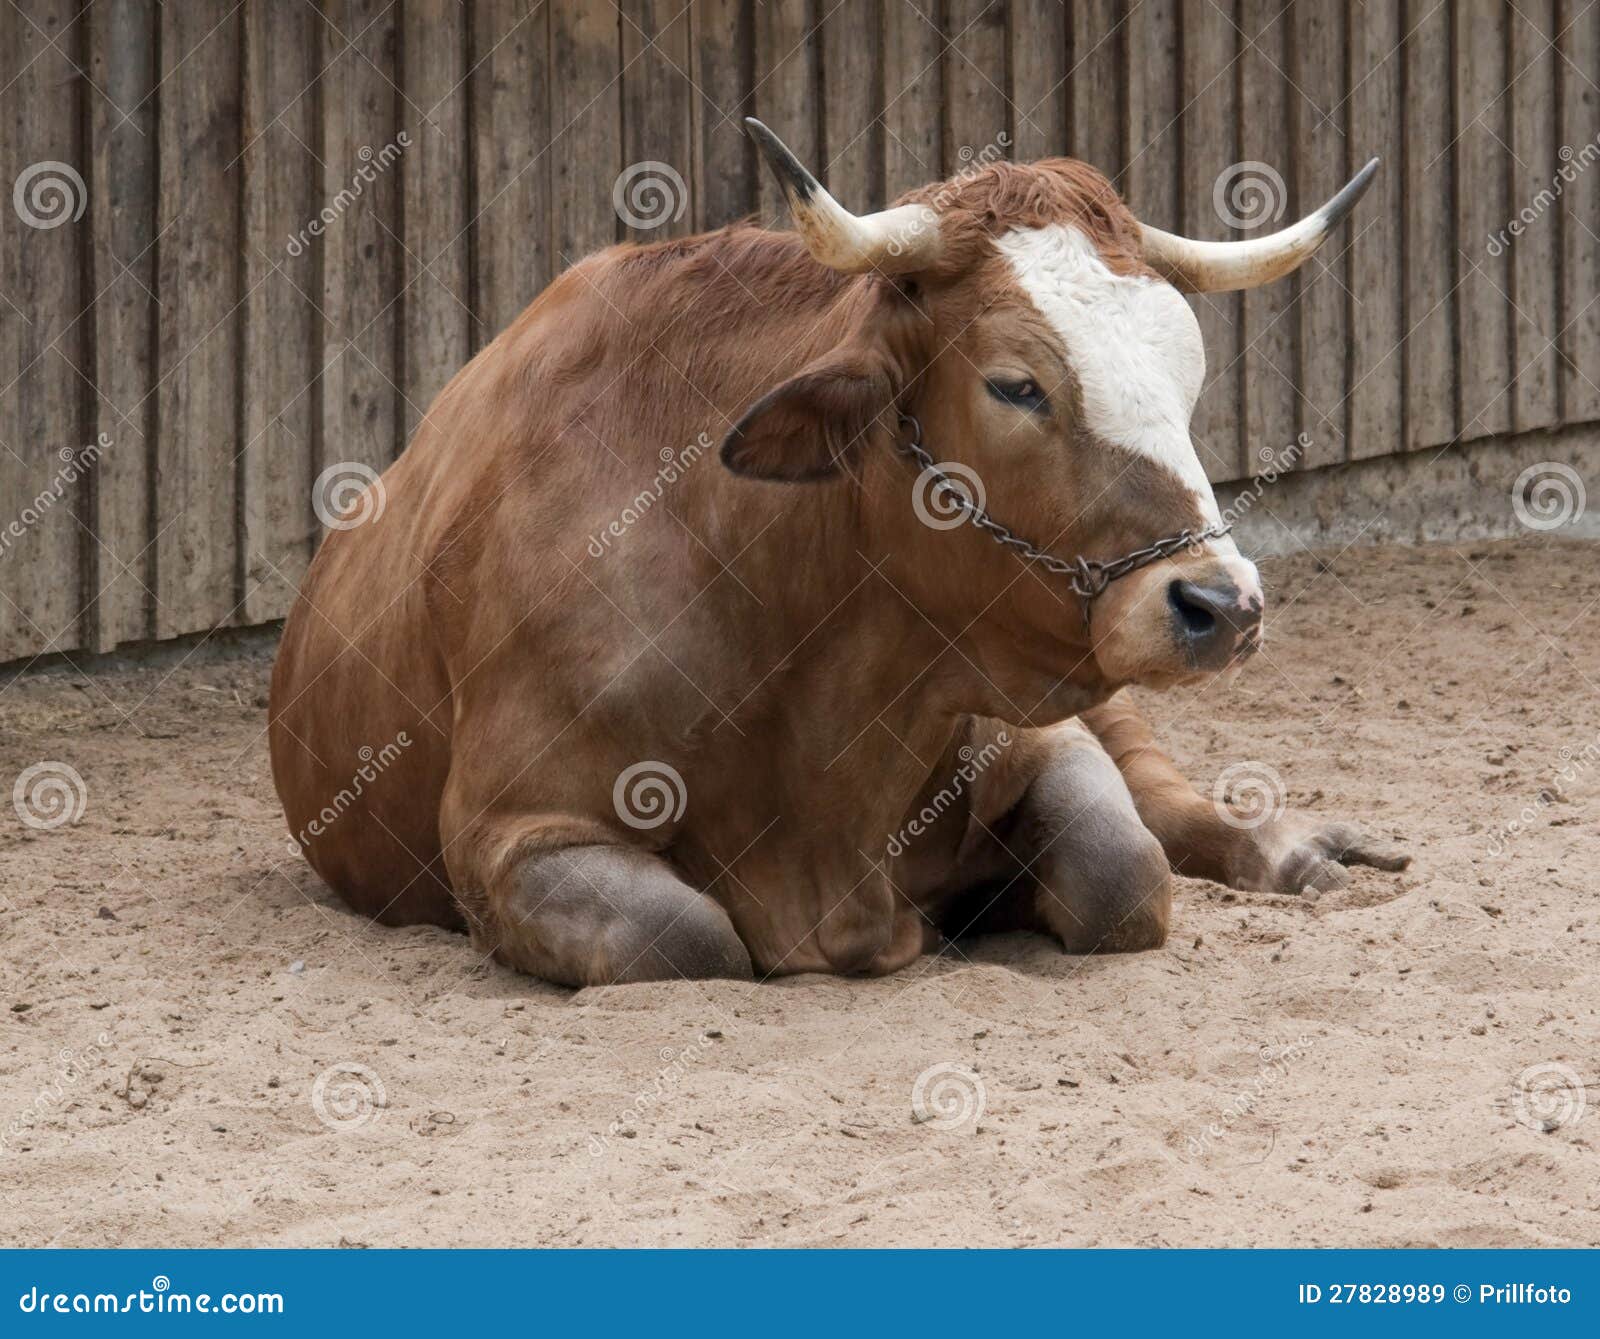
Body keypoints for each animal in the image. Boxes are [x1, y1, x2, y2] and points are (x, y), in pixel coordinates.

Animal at [269, 121, 1407, 987]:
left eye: (1189, 373)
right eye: (1015, 385)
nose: (1221, 604)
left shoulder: (1037, 732)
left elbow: (1121, 870)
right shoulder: (512, 831)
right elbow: (688, 939)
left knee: (1165, 806)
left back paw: (1297, 851)